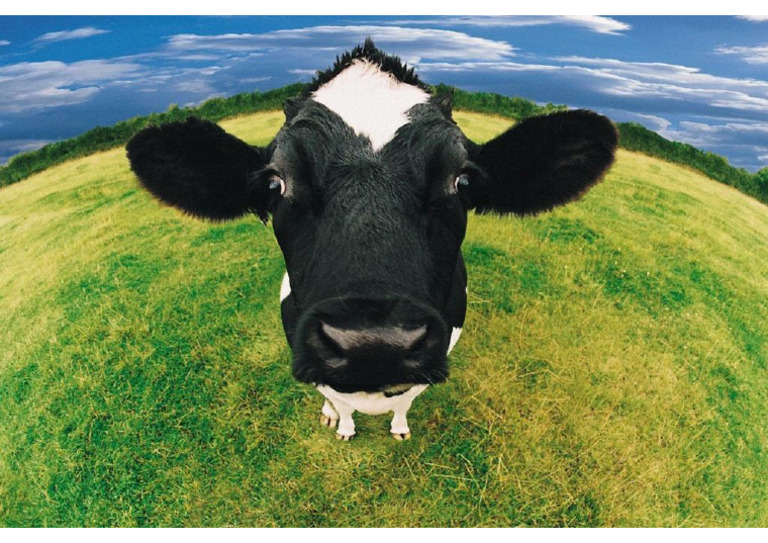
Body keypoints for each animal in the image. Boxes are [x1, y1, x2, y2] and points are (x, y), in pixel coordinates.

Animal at [126, 39, 617, 441]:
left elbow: (406, 399)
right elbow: (339, 400)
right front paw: (342, 425)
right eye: (275, 183)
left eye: (461, 181)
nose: (373, 344)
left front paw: (398, 427)